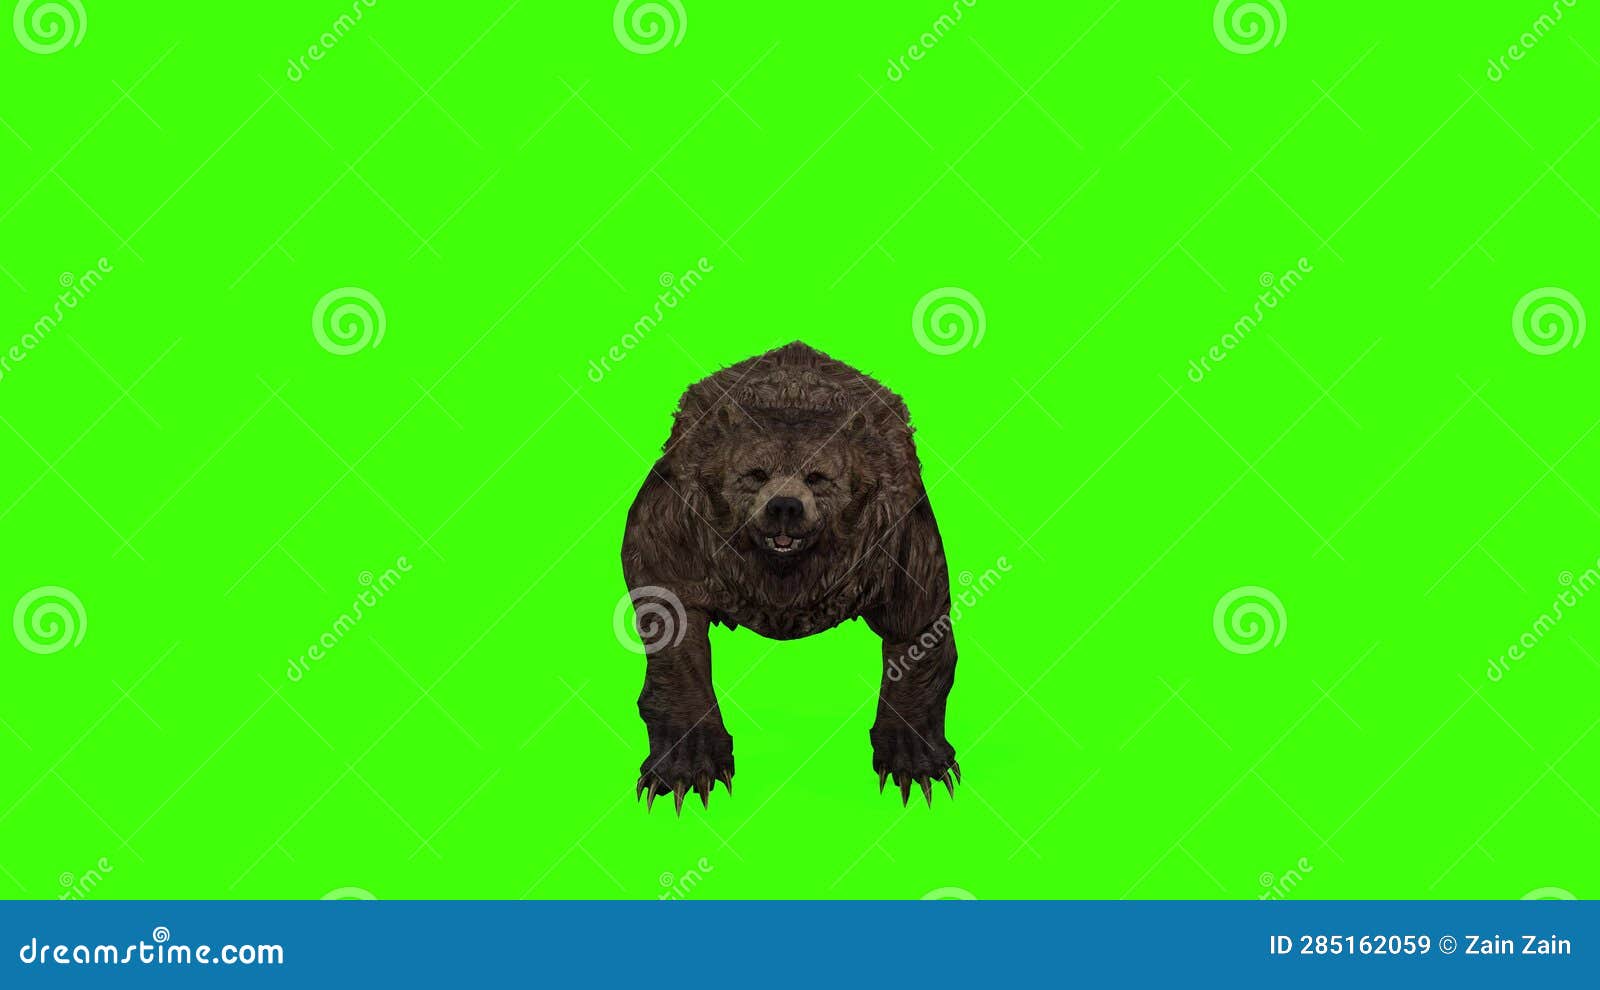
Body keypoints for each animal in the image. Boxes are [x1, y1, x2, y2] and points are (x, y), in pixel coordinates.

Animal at [620, 340, 960, 814]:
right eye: (755, 474)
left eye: (818, 477)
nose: (784, 506)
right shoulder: (681, 518)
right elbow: (671, 612)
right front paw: (686, 771)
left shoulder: (895, 532)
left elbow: (917, 625)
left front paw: (917, 765)